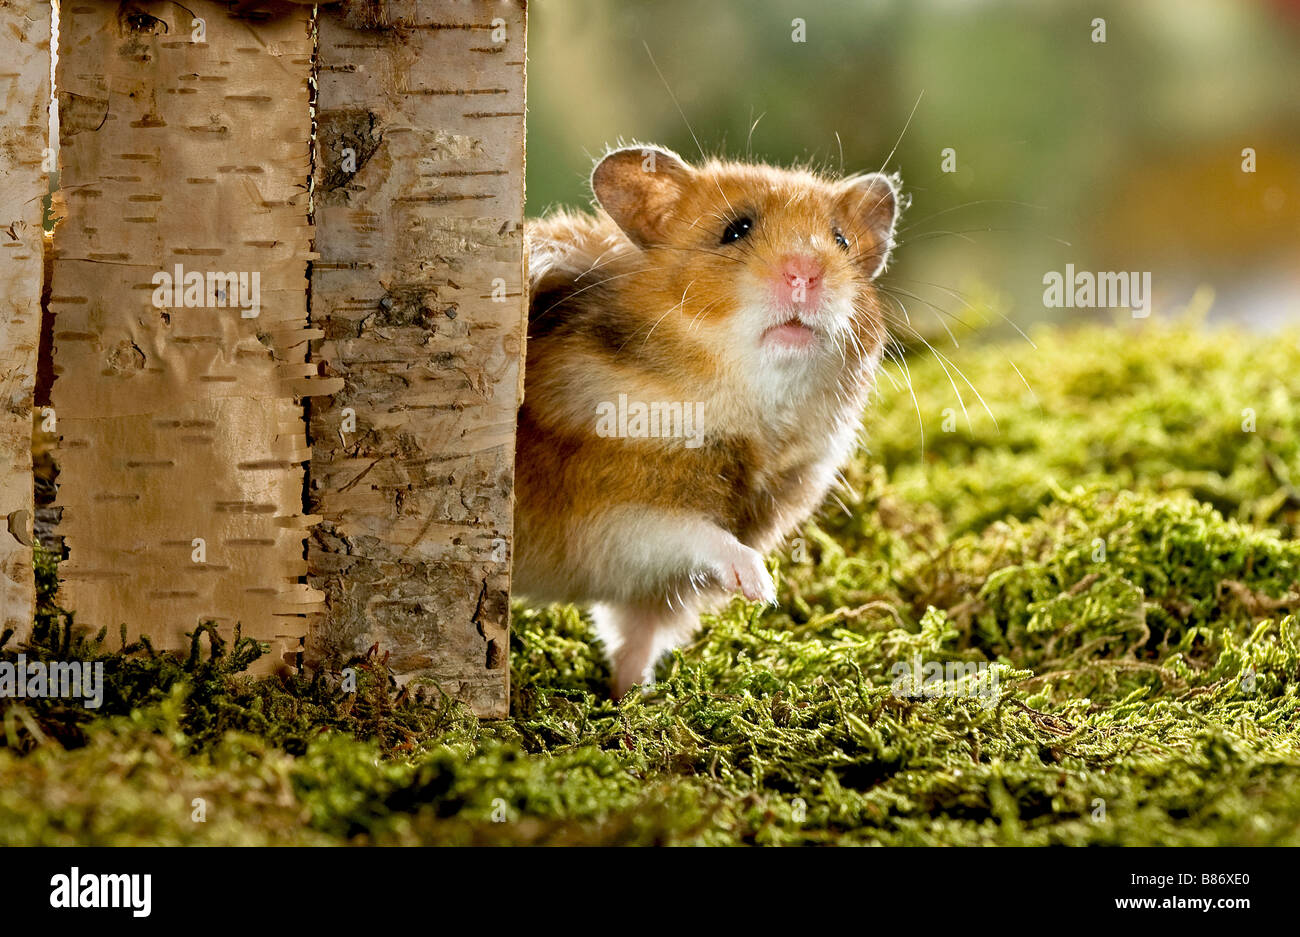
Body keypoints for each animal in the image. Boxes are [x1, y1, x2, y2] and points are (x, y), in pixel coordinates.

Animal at [515, 144, 902, 697]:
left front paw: (632, 700)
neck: (753, 408)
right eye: (735, 230)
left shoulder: (661, 588)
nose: (806, 274)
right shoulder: (612, 511)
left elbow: (638, 640)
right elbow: (696, 534)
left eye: (841, 239)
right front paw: (761, 587)